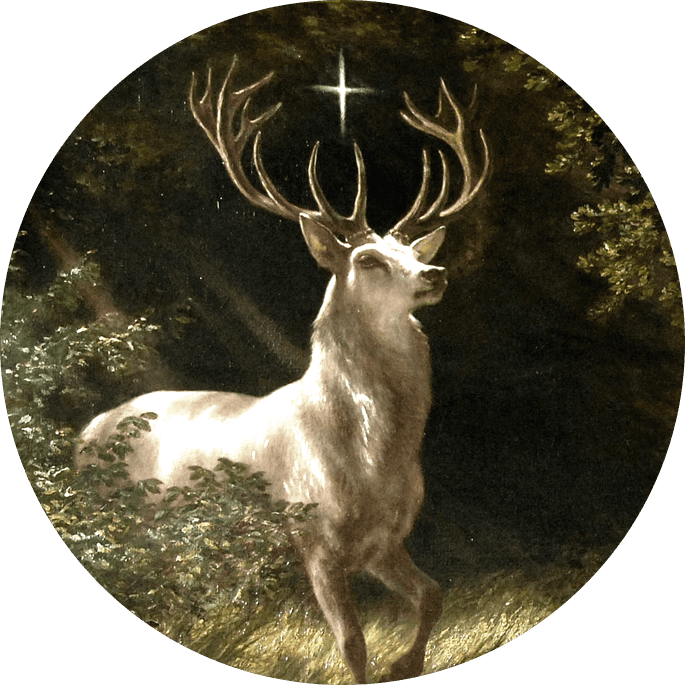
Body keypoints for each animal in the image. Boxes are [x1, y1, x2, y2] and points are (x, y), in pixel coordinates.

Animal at [76, 56, 488, 684]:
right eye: (370, 259)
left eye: (414, 250)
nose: (434, 273)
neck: (372, 458)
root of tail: (83, 432)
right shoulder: (312, 537)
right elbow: (352, 645)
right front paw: (383, 663)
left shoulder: (383, 541)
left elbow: (434, 595)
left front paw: (406, 663)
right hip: (120, 518)